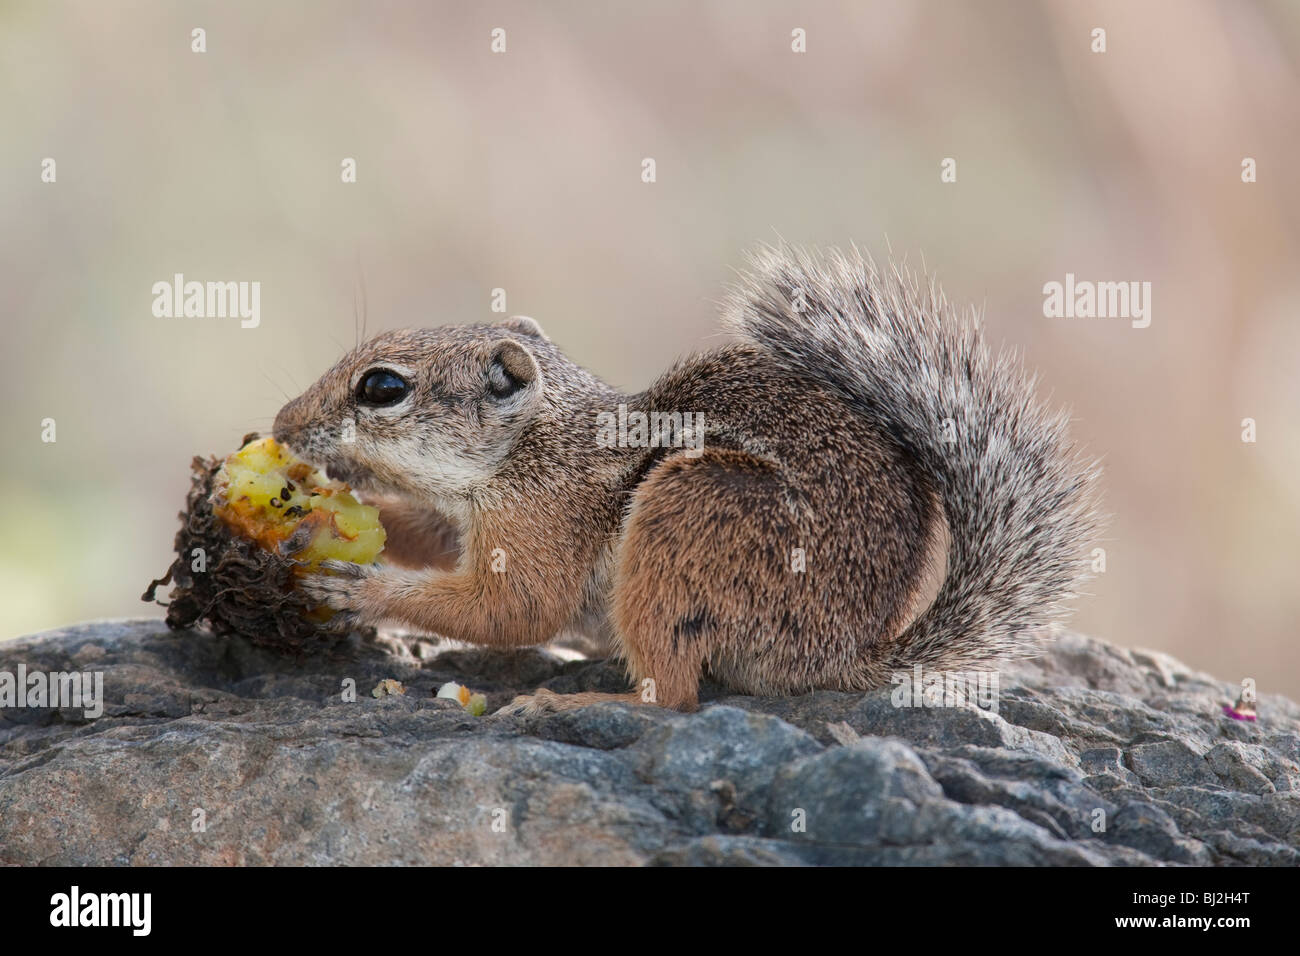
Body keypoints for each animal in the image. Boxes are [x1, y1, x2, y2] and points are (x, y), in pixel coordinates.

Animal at [273, 245, 1103, 714]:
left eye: (382, 388)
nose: (281, 426)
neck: (525, 447)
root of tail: (839, 655)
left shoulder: (543, 519)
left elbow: (517, 611)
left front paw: (361, 587)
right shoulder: (464, 521)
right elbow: (425, 533)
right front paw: (325, 518)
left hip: (693, 511)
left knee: (673, 699)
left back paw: (574, 705)